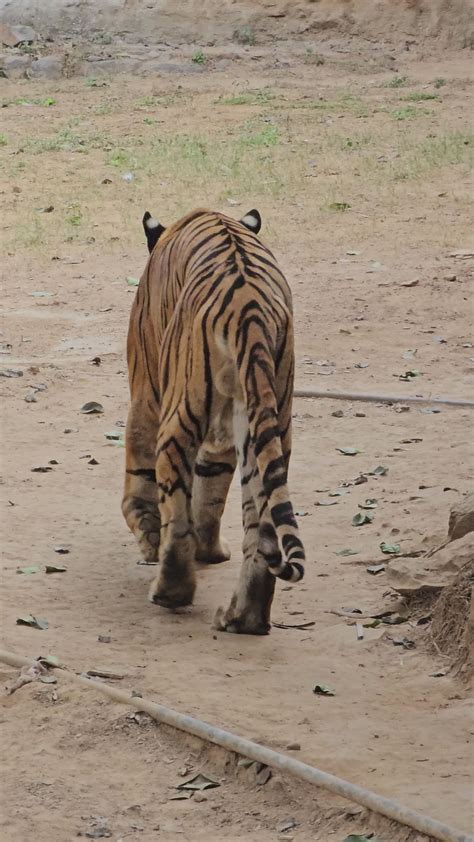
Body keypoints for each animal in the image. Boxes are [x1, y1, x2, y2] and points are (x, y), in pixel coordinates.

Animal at [122, 207, 305, 635]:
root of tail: (250, 311)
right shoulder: (224, 438)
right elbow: (210, 493)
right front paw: (208, 551)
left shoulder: (146, 392)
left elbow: (142, 478)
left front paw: (148, 537)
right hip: (269, 425)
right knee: (261, 529)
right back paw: (243, 618)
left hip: (178, 415)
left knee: (175, 508)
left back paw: (170, 590)